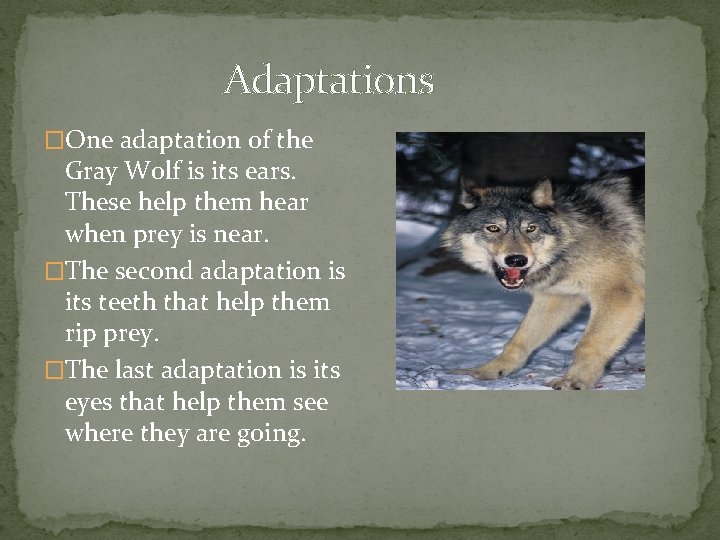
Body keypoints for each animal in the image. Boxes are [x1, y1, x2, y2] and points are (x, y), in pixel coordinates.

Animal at [442, 175, 645, 390]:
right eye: (493, 228)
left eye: (530, 229)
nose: (517, 260)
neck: (573, 238)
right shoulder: (557, 298)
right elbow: (518, 341)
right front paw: (486, 371)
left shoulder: (619, 294)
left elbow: (587, 344)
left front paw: (574, 380)